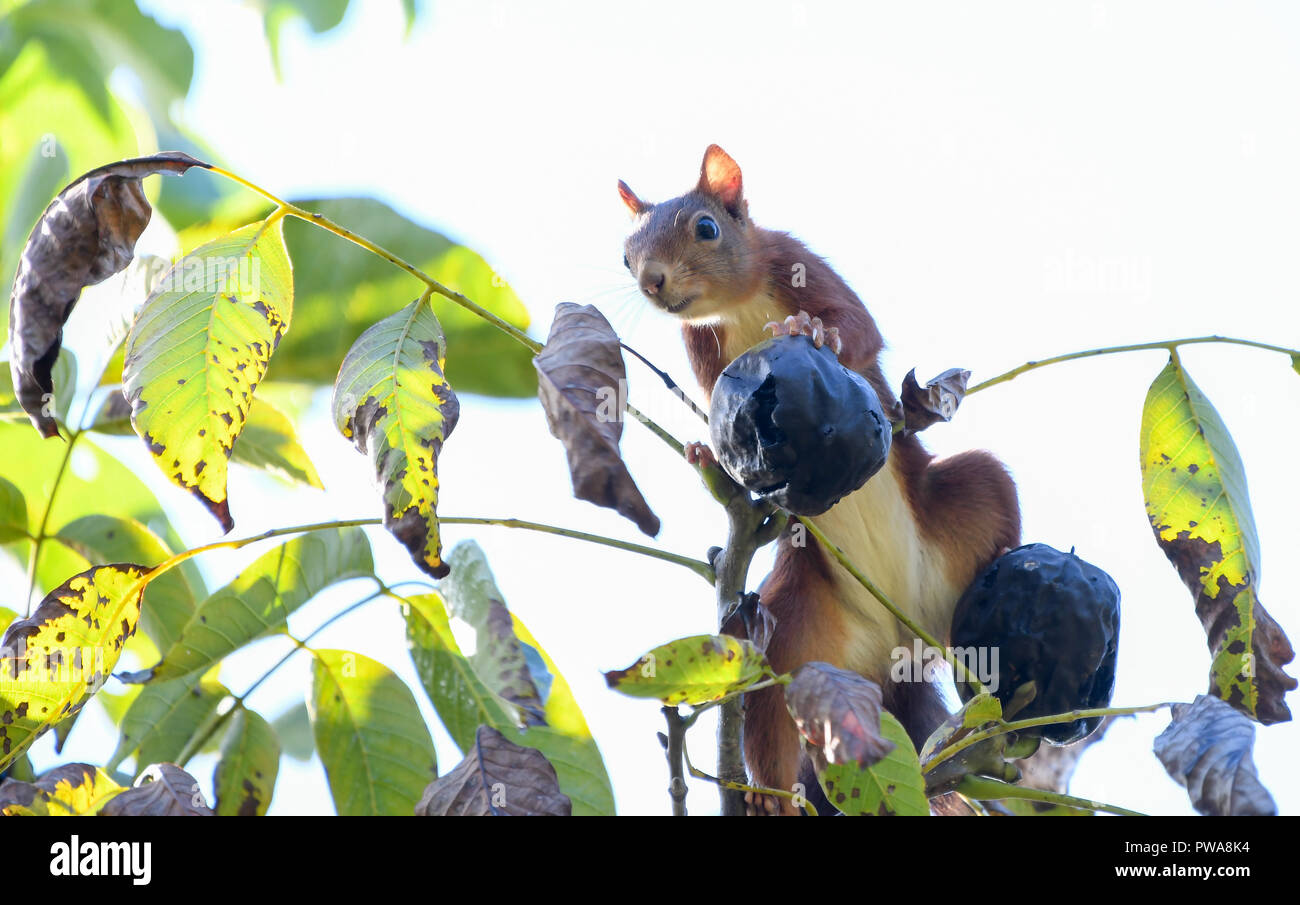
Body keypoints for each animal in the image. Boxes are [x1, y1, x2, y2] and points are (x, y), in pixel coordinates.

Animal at [619, 145, 1022, 814]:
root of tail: (902, 641)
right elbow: (710, 409)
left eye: (707, 227)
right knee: (770, 710)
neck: (739, 303)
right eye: (625, 252)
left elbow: (858, 329)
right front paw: (707, 452)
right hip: (794, 632)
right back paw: (768, 796)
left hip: (973, 499)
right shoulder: (703, 350)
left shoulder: (800, 264)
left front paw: (817, 332)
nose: (652, 280)